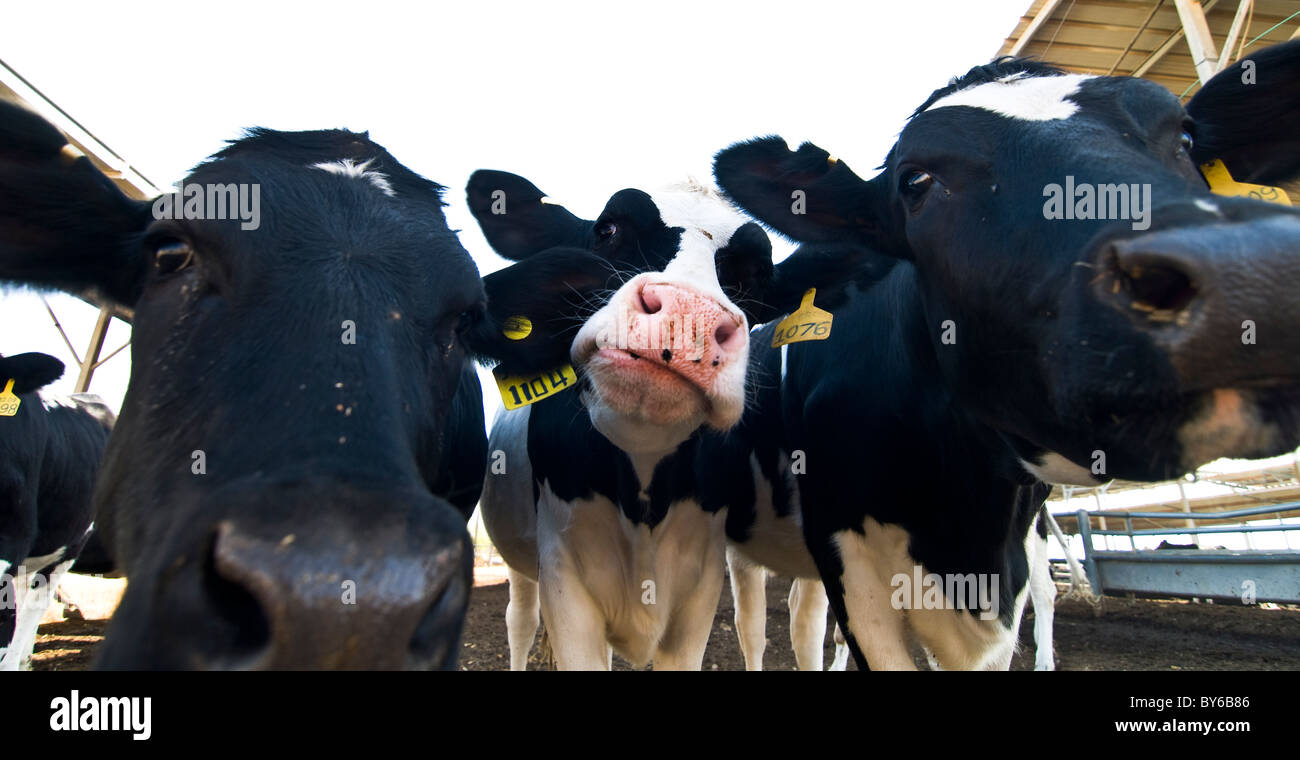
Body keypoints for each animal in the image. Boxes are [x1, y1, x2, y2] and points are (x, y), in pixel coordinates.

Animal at [468, 170, 862, 670]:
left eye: (756, 273)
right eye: (607, 228)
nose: (688, 317)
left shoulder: (700, 589)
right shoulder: (564, 581)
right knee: (519, 623)